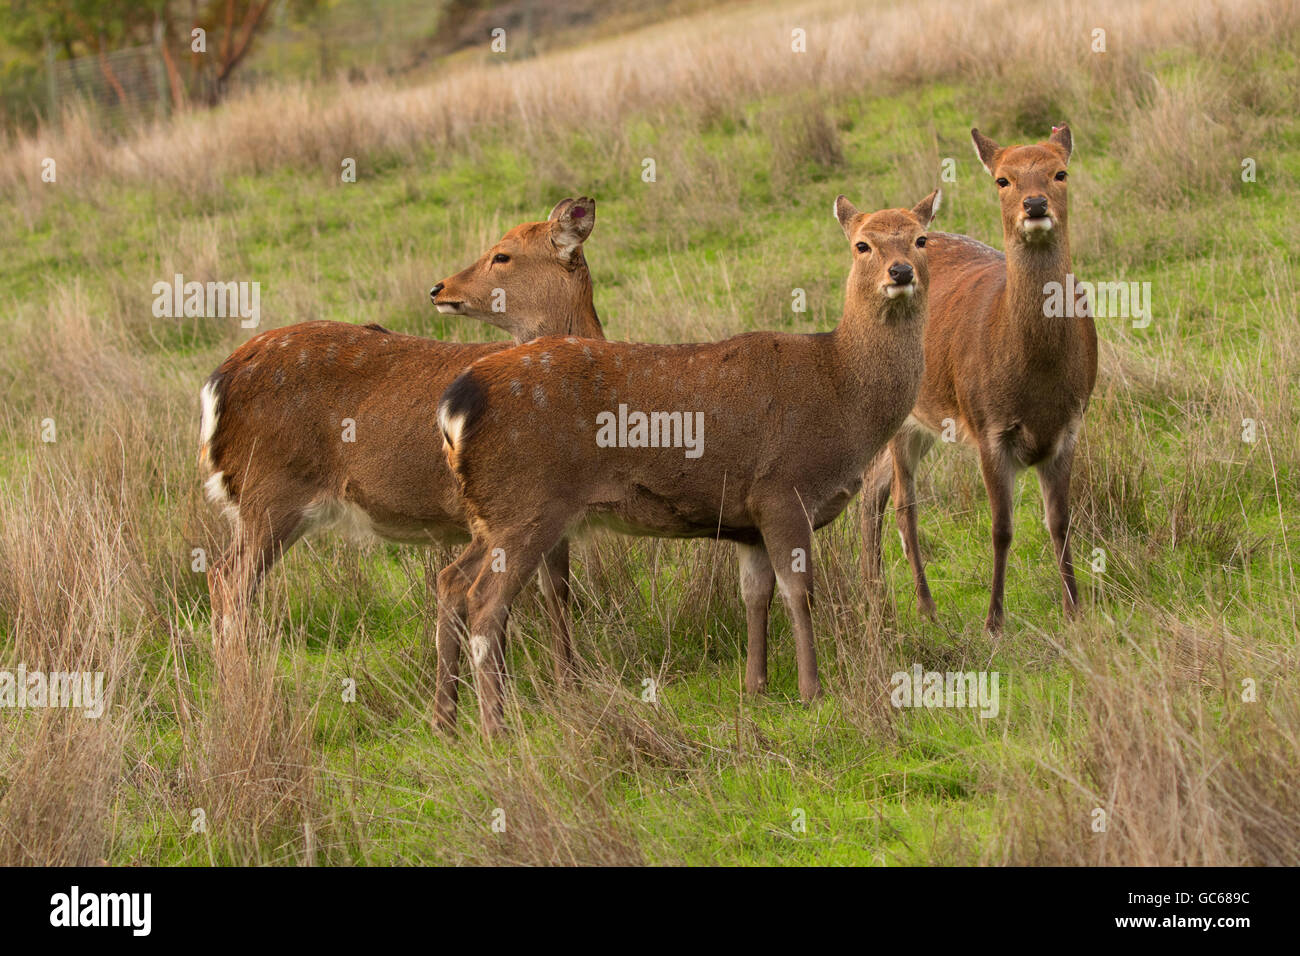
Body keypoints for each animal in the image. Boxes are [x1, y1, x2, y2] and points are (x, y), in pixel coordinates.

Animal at [198, 198, 602, 682]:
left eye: (503, 255)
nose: (438, 288)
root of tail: (216, 385)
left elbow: (557, 591)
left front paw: (570, 681)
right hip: (269, 490)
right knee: (227, 580)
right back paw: (238, 682)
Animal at [434, 190, 940, 734]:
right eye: (861, 244)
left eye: (921, 238)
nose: (900, 271)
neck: (843, 395)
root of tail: (455, 405)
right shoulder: (783, 489)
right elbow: (799, 592)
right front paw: (813, 693)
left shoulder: (747, 520)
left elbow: (755, 595)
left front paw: (755, 687)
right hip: (529, 505)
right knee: (485, 602)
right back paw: (495, 729)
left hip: (492, 514)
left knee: (451, 581)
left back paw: (448, 723)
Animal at [861, 125, 1097, 633]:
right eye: (1002, 179)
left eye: (1061, 172)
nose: (1035, 204)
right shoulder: (989, 427)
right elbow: (1001, 529)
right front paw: (994, 621)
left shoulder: (1069, 426)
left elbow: (1061, 520)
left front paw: (1075, 609)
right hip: (900, 414)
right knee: (903, 504)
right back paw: (919, 606)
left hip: (926, 422)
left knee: (875, 491)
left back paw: (878, 598)